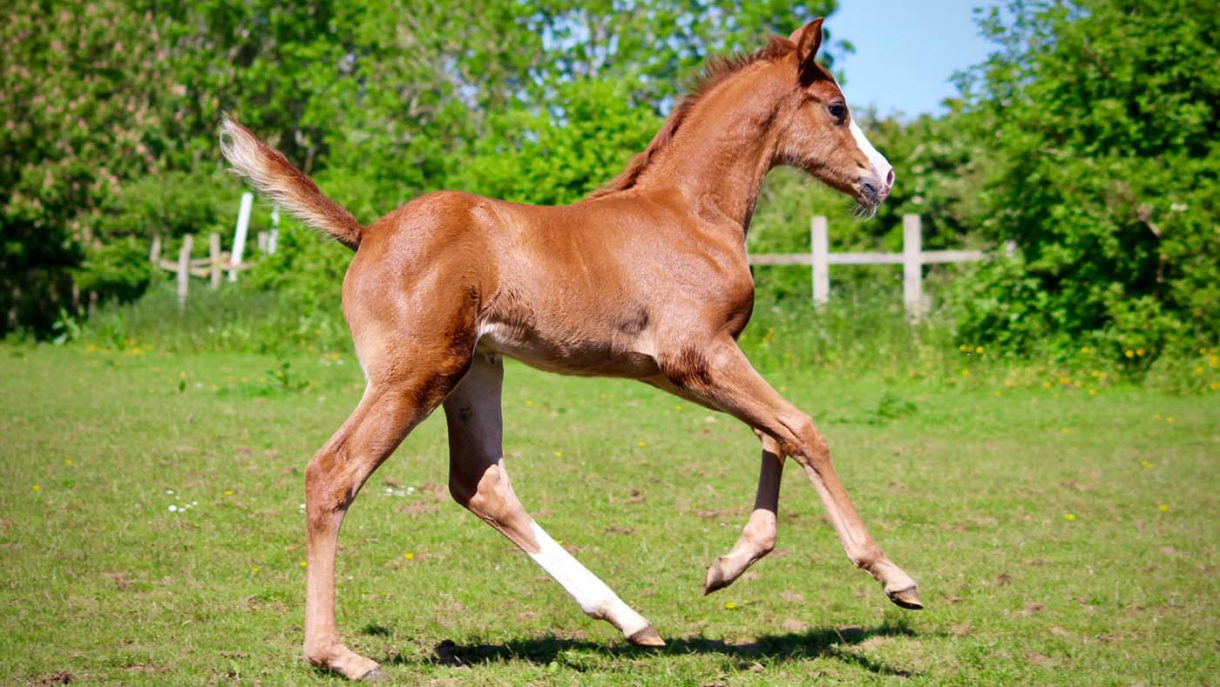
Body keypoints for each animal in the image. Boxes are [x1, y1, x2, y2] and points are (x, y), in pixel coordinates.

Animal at [220, 18, 918, 681]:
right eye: (837, 108)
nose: (883, 177)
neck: (693, 214)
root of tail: (366, 233)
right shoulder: (699, 355)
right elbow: (802, 428)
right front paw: (891, 574)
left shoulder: (691, 367)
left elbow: (774, 434)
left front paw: (728, 566)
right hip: (414, 377)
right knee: (333, 473)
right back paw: (337, 655)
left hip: (475, 372)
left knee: (479, 483)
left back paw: (629, 620)